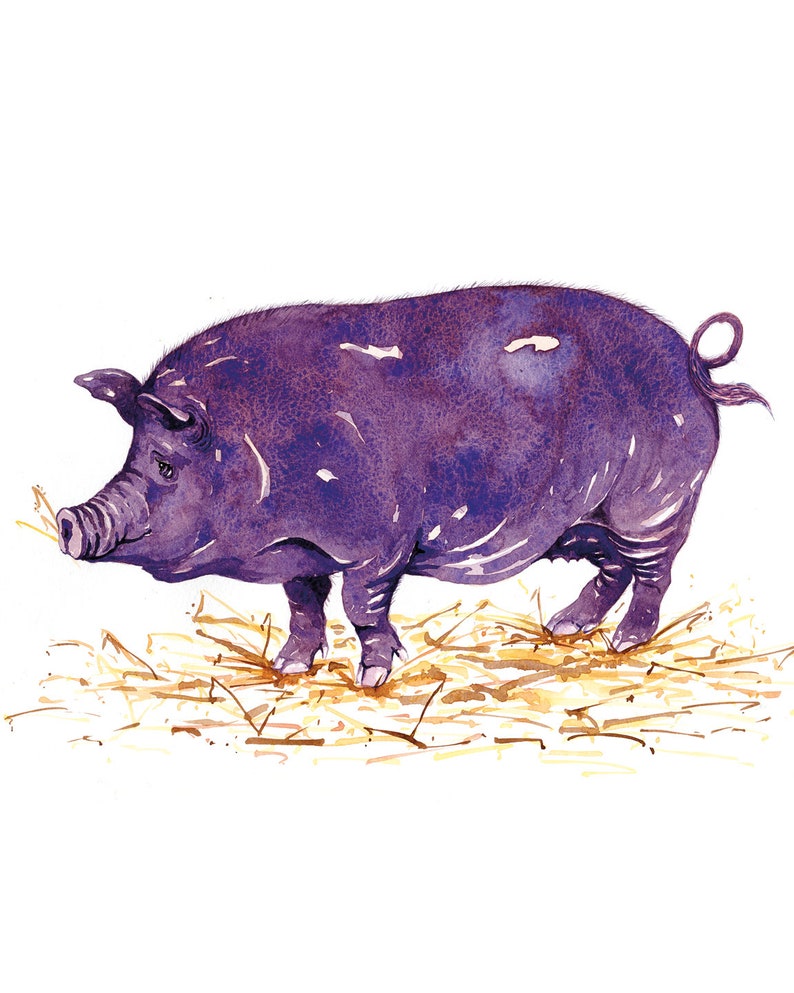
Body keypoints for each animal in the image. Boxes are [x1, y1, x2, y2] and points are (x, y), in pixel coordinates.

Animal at [56, 286, 767, 686]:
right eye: (131, 453)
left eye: (167, 465)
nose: (67, 521)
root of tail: (696, 366)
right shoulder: (303, 556)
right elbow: (303, 605)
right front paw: (288, 668)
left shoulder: (380, 540)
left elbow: (361, 607)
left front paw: (372, 680)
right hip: (587, 522)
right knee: (613, 570)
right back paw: (565, 628)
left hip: (656, 503)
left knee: (654, 574)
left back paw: (623, 642)